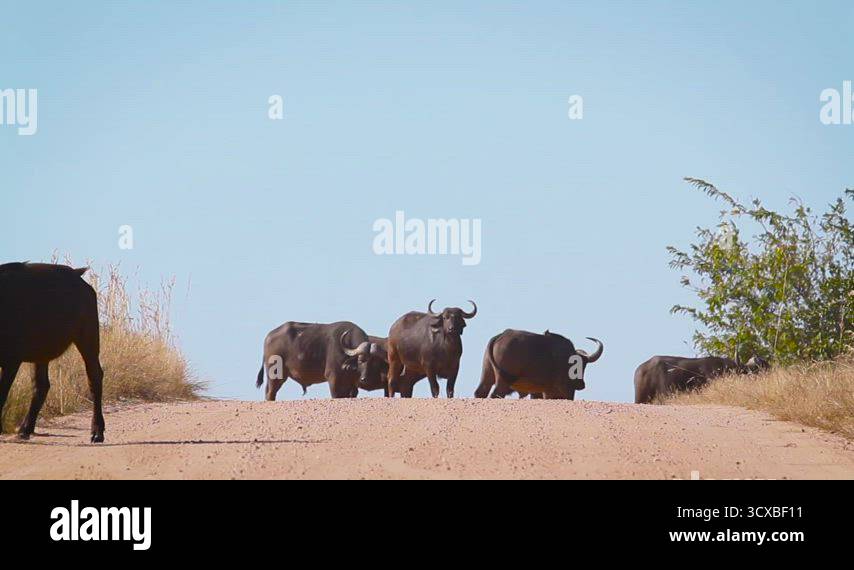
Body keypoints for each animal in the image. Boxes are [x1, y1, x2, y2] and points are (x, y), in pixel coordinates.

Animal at [0, 263, 105, 443]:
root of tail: (76, 274)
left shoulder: (12, 360)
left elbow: (1, 393)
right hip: (41, 354)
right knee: (42, 385)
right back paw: (25, 429)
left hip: (88, 337)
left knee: (95, 376)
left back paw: (97, 432)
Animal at [475, 329, 603, 399]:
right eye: (578, 366)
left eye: (585, 366)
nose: (581, 384)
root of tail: (501, 335)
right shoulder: (563, 389)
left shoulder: (540, 392)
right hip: (503, 382)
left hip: (487, 376)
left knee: (480, 392)